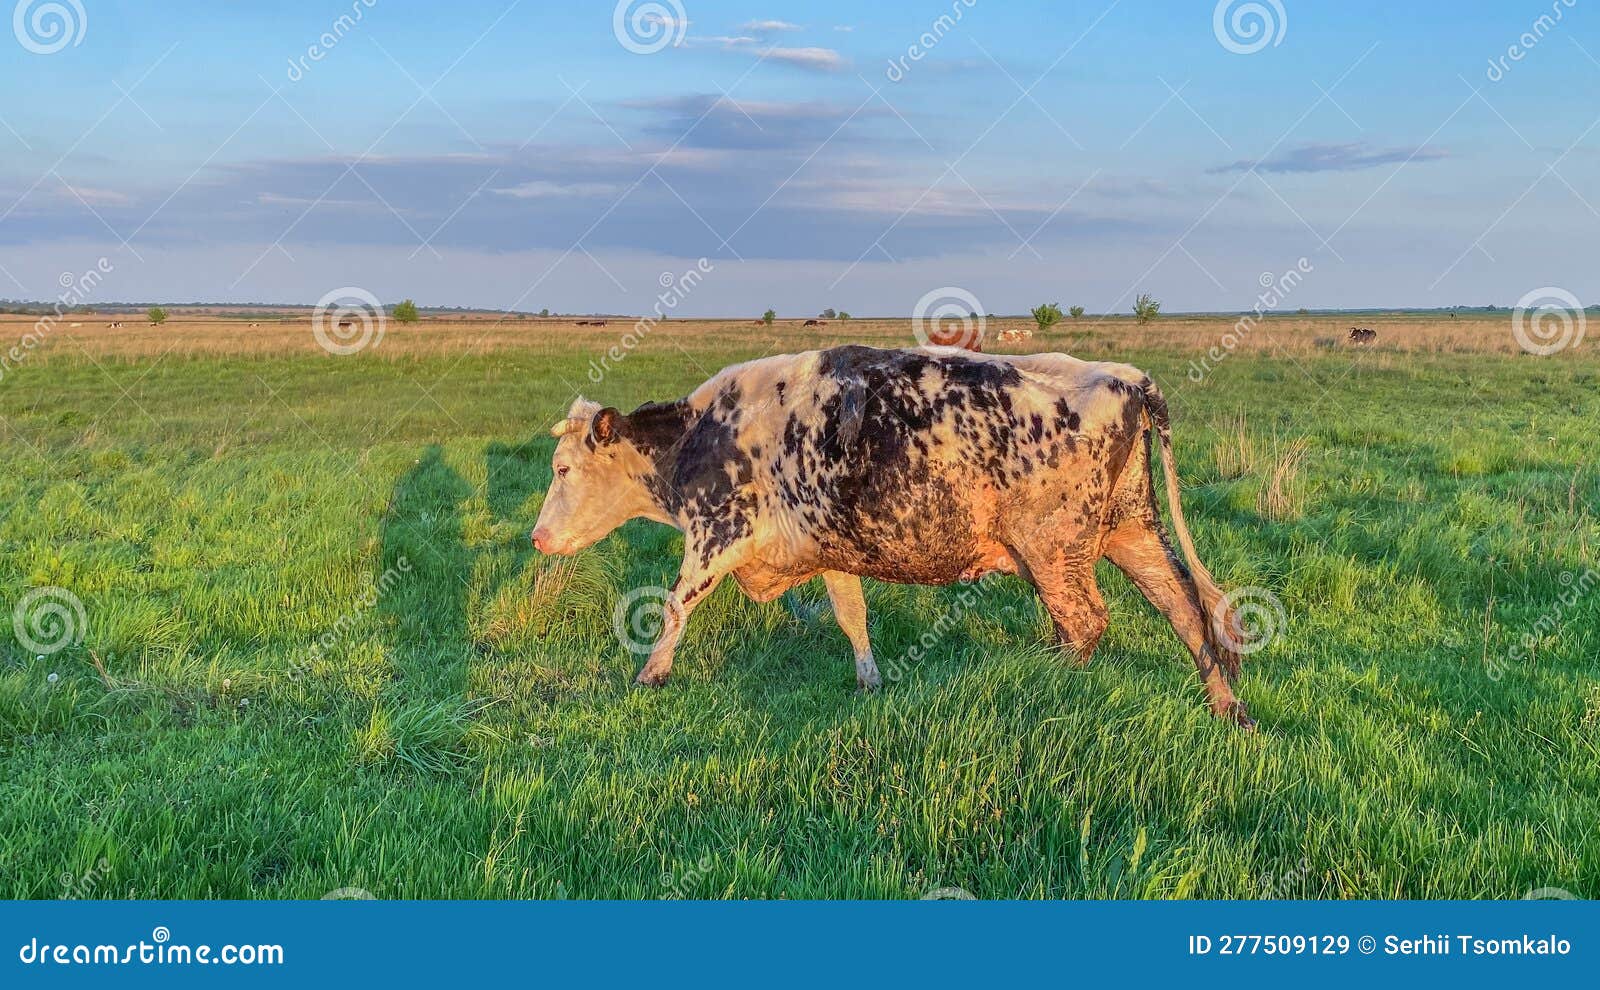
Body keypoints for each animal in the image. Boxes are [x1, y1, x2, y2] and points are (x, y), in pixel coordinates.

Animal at [531, 344, 1254, 727]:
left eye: (562, 469)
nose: (537, 538)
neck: (702, 439)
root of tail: (1124, 376)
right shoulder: (828, 548)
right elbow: (852, 616)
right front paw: (869, 682)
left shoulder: (716, 534)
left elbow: (676, 604)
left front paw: (650, 675)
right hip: (1130, 529)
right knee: (1182, 606)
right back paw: (1227, 707)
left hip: (1055, 551)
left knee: (1086, 622)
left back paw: (1045, 679)